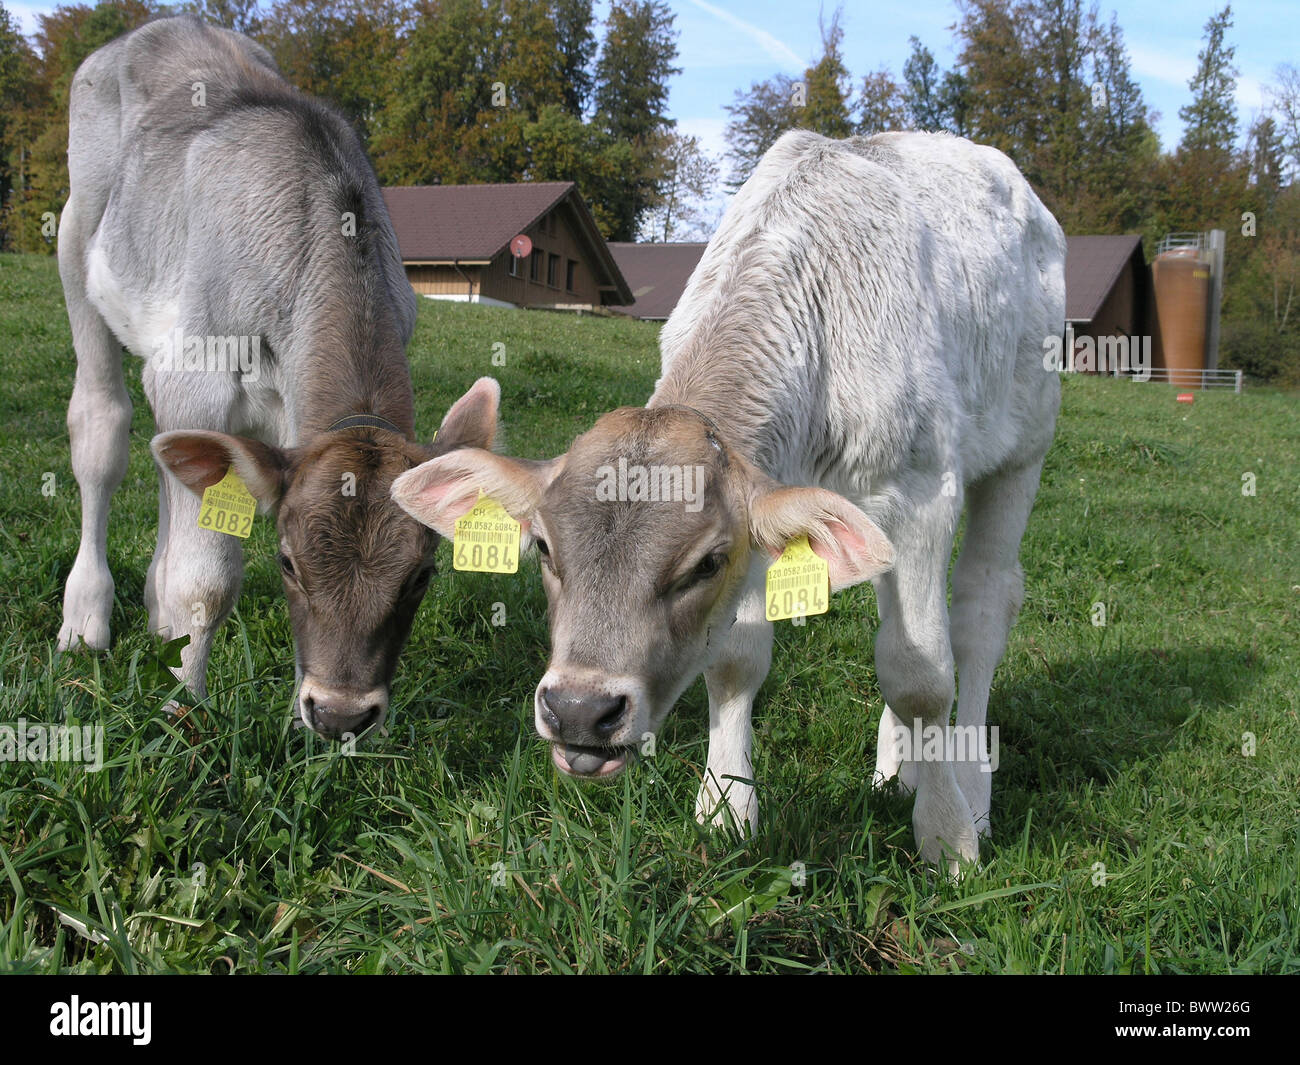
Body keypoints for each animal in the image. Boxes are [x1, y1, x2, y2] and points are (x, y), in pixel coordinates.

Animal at [55, 15, 499, 738]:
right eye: (287, 561)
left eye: (421, 577)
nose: (342, 713)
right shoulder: (196, 373)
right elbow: (206, 579)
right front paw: (182, 715)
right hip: (77, 232)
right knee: (103, 430)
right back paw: (86, 618)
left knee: (169, 463)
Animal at [391, 130, 1064, 873]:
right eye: (542, 547)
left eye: (705, 563)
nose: (579, 711)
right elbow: (737, 656)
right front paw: (725, 805)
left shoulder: (922, 489)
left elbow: (919, 673)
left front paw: (947, 838)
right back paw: (899, 772)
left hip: (1023, 445)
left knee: (980, 608)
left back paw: (971, 785)